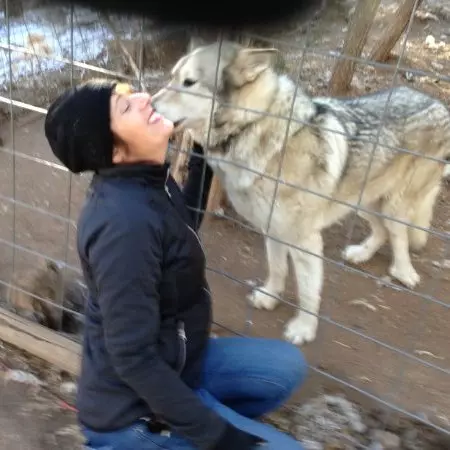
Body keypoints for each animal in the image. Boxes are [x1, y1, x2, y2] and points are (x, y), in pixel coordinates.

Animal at [152, 40, 450, 346]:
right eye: (172, 77)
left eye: (188, 82)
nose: (149, 104)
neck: (253, 126)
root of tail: (439, 104)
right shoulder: (272, 229)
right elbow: (277, 268)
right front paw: (270, 298)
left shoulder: (304, 240)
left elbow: (308, 292)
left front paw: (304, 329)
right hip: (364, 201)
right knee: (382, 231)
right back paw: (360, 254)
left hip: (392, 205)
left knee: (399, 236)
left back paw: (403, 273)